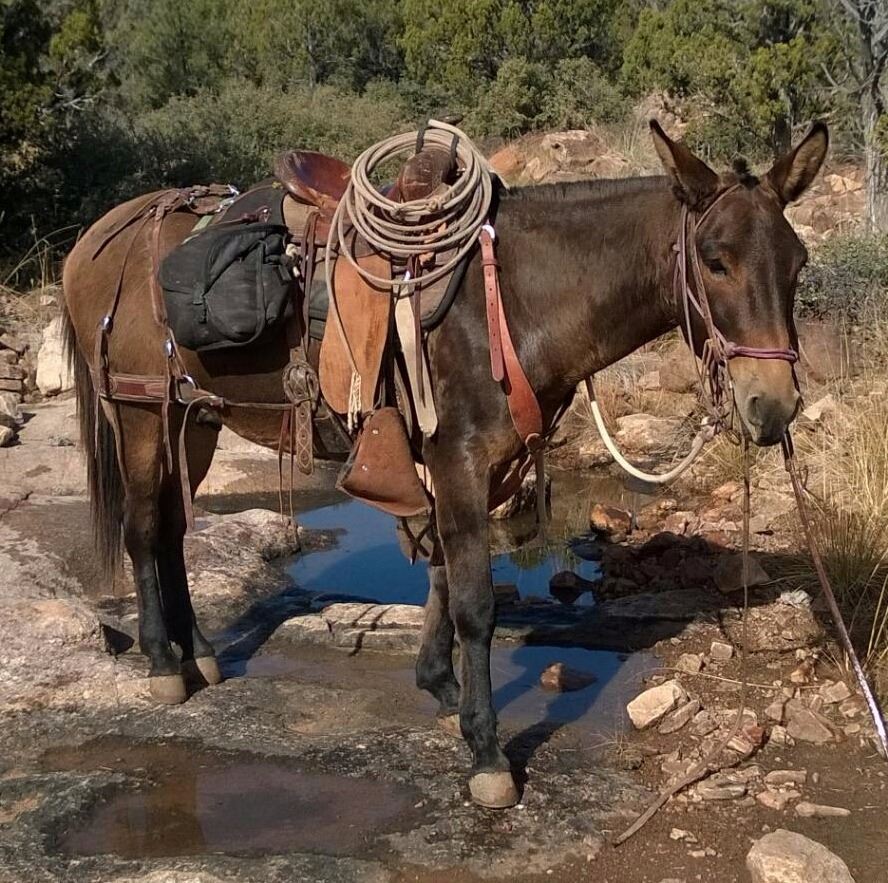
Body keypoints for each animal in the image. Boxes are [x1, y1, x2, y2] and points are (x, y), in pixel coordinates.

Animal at [61, 120, 828, 808]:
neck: (510, 299)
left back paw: (200, 654)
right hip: (139, 415)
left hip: (191, 423)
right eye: (715, 259)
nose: (773, 404)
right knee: (142, 531)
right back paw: (164, 664)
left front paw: (441, 688)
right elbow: (476, 605)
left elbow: (439, 578)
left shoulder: (468, 466)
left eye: (796, 263)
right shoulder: (458, 459)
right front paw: (487, 753)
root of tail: (99, 238)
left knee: (172, 533)